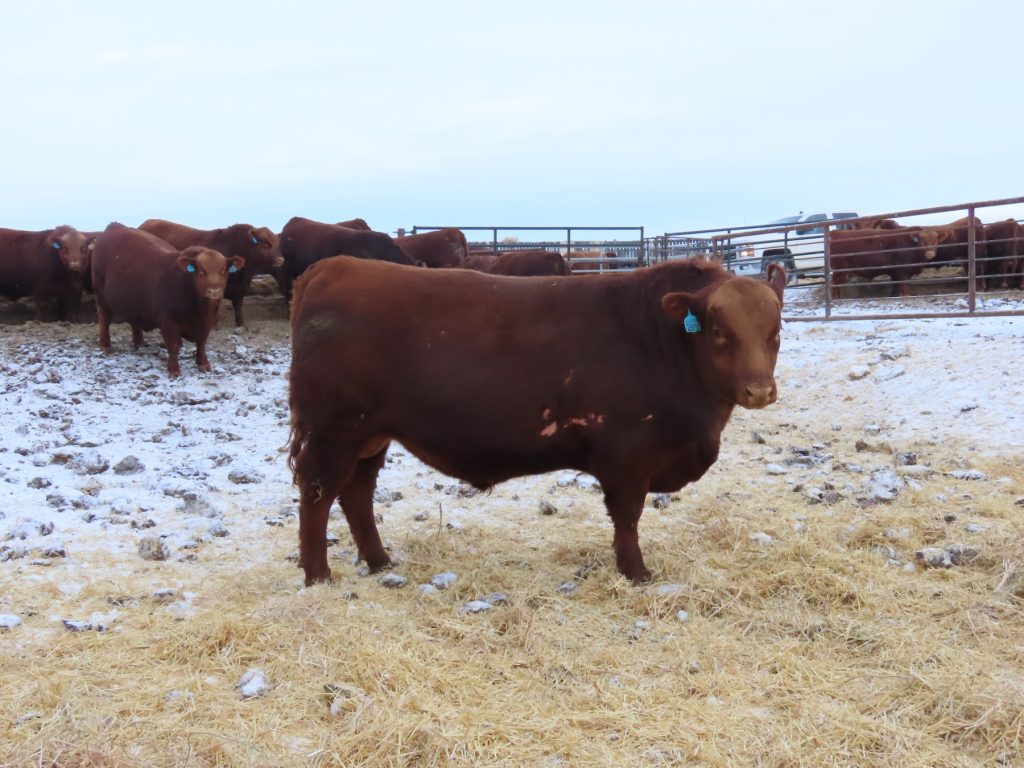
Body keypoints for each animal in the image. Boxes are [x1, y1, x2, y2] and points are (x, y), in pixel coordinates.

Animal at [91, 223, 244, 377]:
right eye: (201, 271)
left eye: (224, 270)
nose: (214, 291)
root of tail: (115, 226)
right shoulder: (168, 321)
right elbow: (173, 346)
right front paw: (174, 370)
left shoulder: (207, 323)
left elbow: (201, 344)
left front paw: (203, 364)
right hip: (101, 293)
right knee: (103, 317)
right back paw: (105, 345)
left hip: (132, 302)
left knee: (134, 321)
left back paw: (139, 343)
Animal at [138, 219, 284, 326]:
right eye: (265, 243)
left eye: (277, 243)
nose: (281, 259)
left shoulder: (240, 288)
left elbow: (238, 305)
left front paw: (241, 323)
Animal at [287, 256, 787, 586]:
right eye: (719, 331)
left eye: (776, 331)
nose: (758, 391)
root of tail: (335, 265)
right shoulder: (627, 455)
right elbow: (627, 516)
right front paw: (636, 572)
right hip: (335, 431)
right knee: (318, 492)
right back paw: (318, 574)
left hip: (371, 435)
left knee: (357, 492)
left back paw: (380, 561)